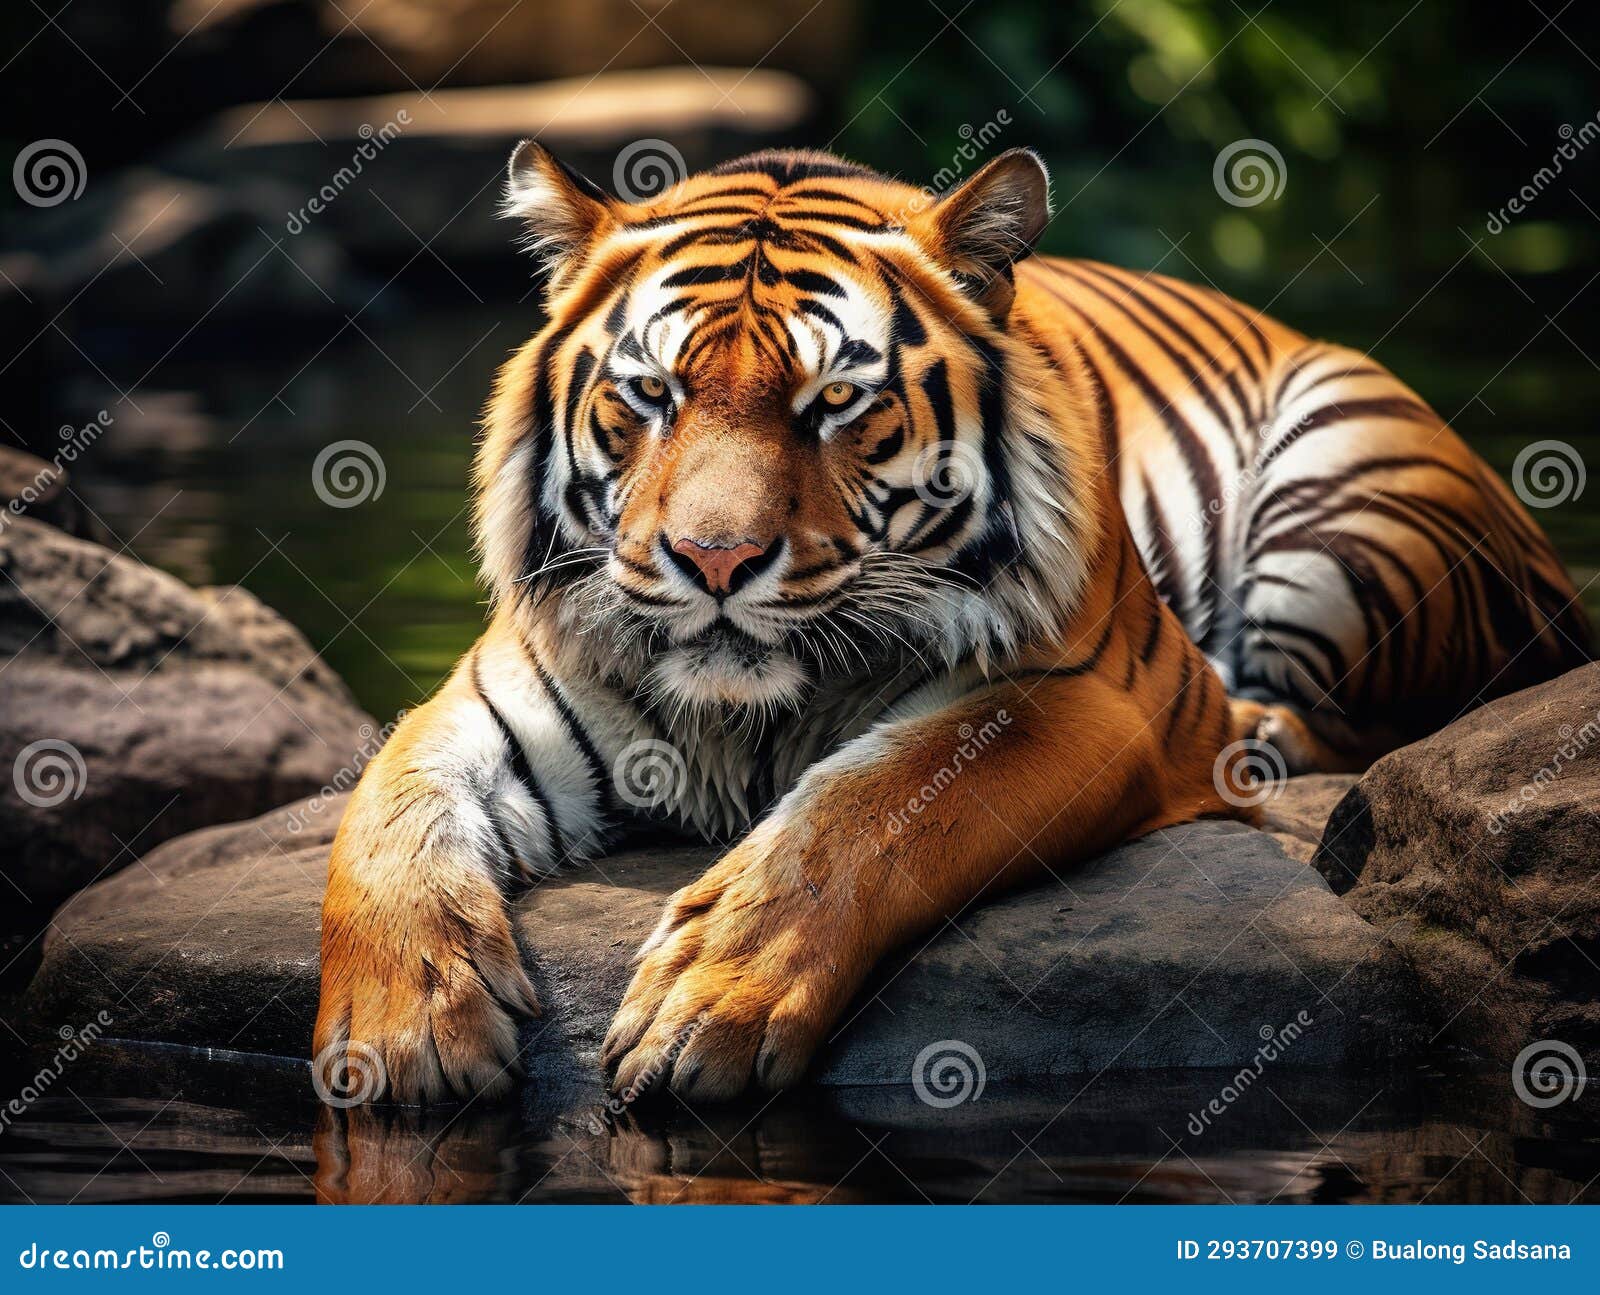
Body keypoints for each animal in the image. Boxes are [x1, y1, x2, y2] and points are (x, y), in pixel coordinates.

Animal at [314, 144, 1591, 1105]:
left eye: (835, 400)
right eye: (652, 394)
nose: (713, 560)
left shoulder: (1088, 696)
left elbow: (871, 807)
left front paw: (704, 997)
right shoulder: (492, 700)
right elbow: (382, 819)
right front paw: (398, 1030)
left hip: (1335, 502)